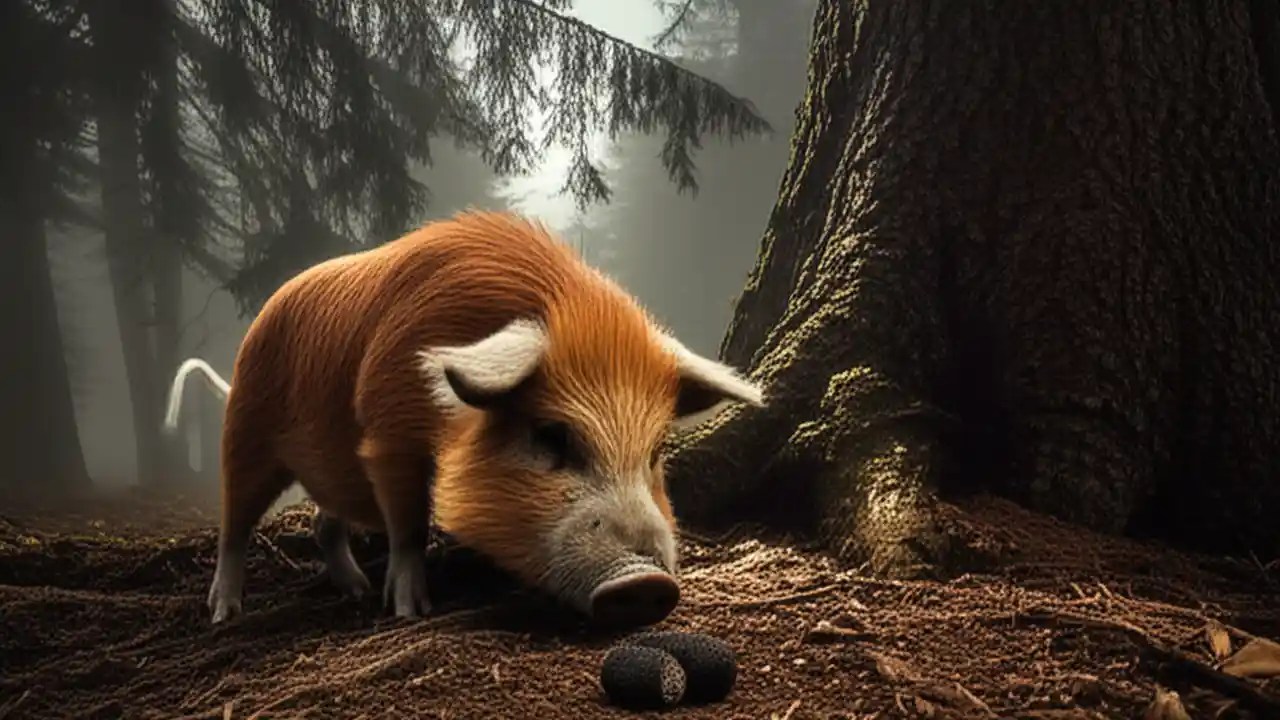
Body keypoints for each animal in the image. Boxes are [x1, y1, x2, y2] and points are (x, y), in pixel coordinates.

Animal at [163, 210, 765, 628]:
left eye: (657, 450)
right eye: (551, 437)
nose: (647, 584)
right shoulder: (386, 440)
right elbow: (408, 525)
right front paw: (411, 610)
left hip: (331, 469)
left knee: (325, 523)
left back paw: (357, 590)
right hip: (246, 431)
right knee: (235, 520)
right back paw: (226, 613)